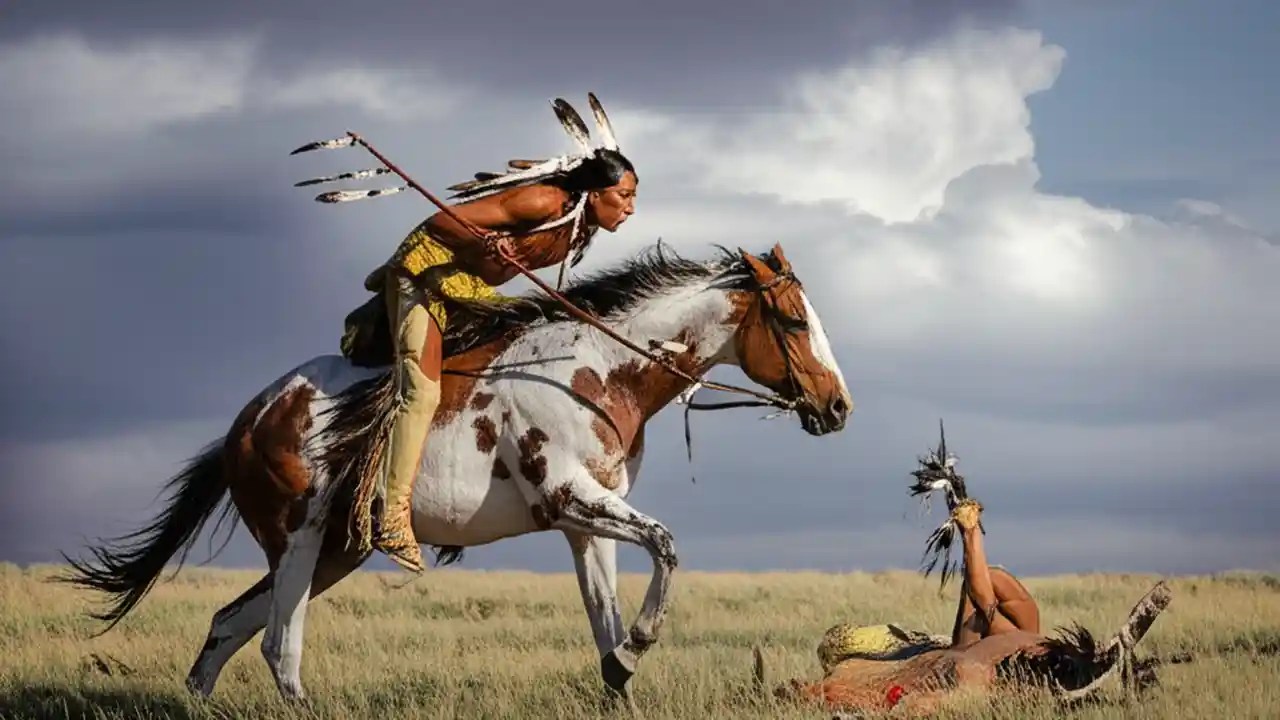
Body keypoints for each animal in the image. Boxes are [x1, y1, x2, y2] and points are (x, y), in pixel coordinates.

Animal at [60, 241, 853, 703]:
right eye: (792, 321)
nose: (839, 406)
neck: (593, 369)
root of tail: (246, 423)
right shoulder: (570, 498)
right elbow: (666, 546)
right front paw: (641, 645)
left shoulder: (585, 525)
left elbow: (606, 631)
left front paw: (622, 664)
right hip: (300, 543)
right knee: (279, 648)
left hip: (338, 551)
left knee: (228, 627)